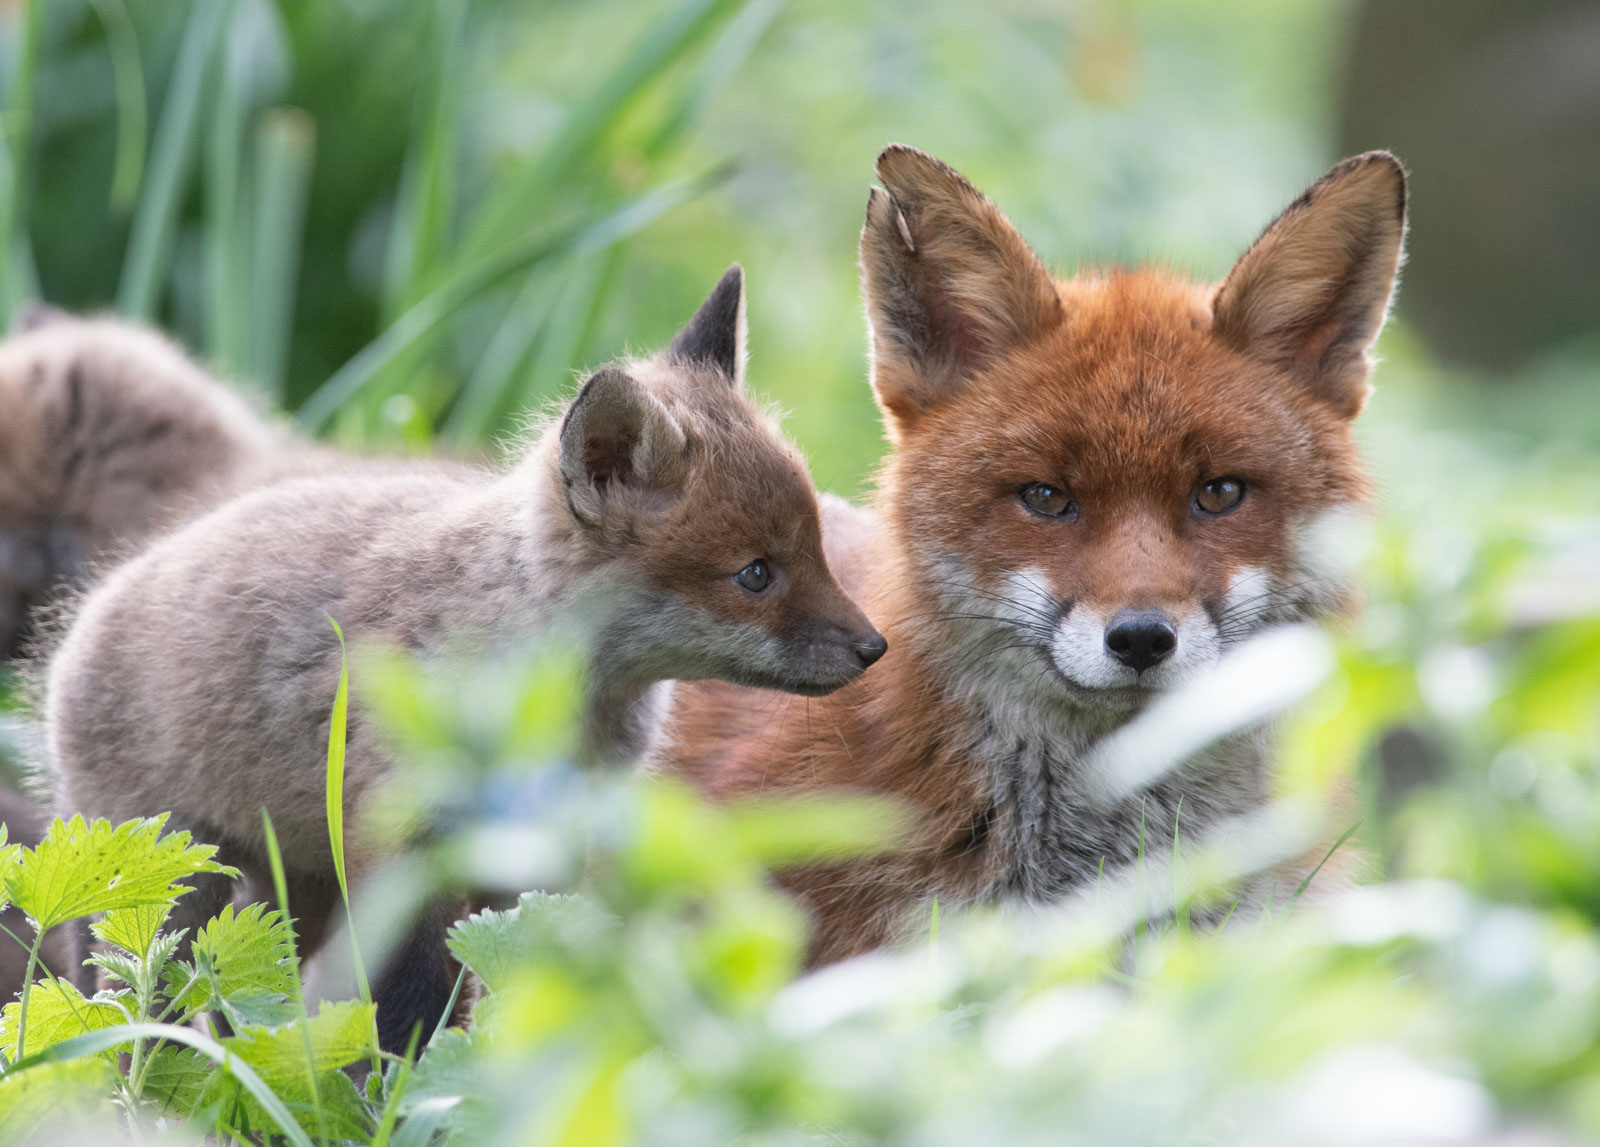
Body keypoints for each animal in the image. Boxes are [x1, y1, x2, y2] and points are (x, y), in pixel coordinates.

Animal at [43, 266, 886, 1052]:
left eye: (815, 548)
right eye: (756, 573)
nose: (875, 647)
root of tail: (86, 612)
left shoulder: (536, 850)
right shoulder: (401, 850)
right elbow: (407, 1016)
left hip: (289, 886)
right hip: (165, 882)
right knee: (129, 1004)